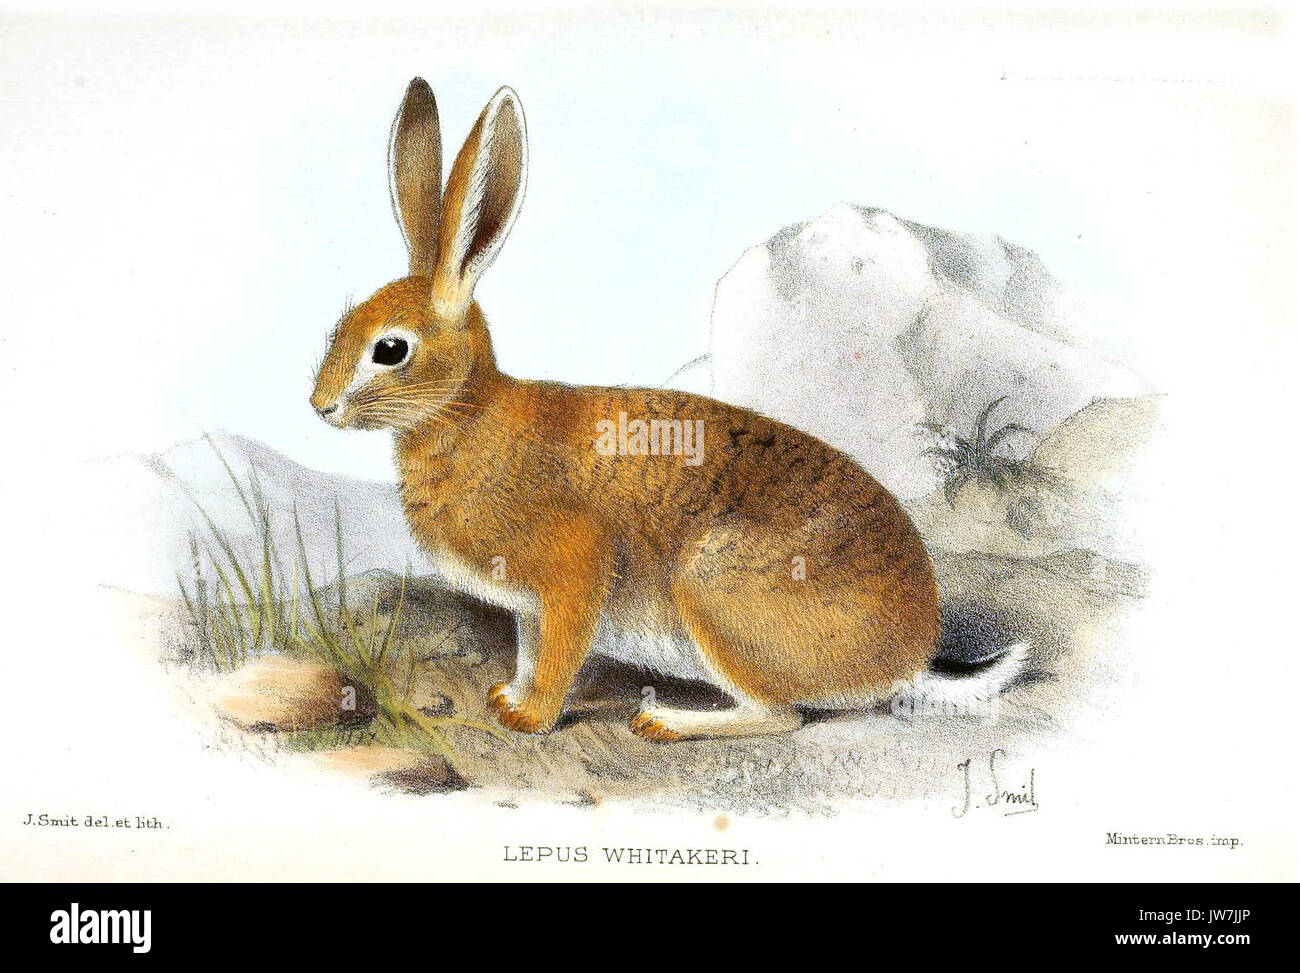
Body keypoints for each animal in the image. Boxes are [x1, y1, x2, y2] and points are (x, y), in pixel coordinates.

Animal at [310, 78, 1024, 740]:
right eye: (337, 328)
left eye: (391, 349)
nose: (320, 407)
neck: (463, 413)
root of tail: (908, 660)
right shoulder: (527, 608)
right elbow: (527, 651)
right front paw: (506, 695)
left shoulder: (571, 573)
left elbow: (558, 656)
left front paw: (529, 718)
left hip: (715, 594)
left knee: (780, 715)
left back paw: (666, 721)